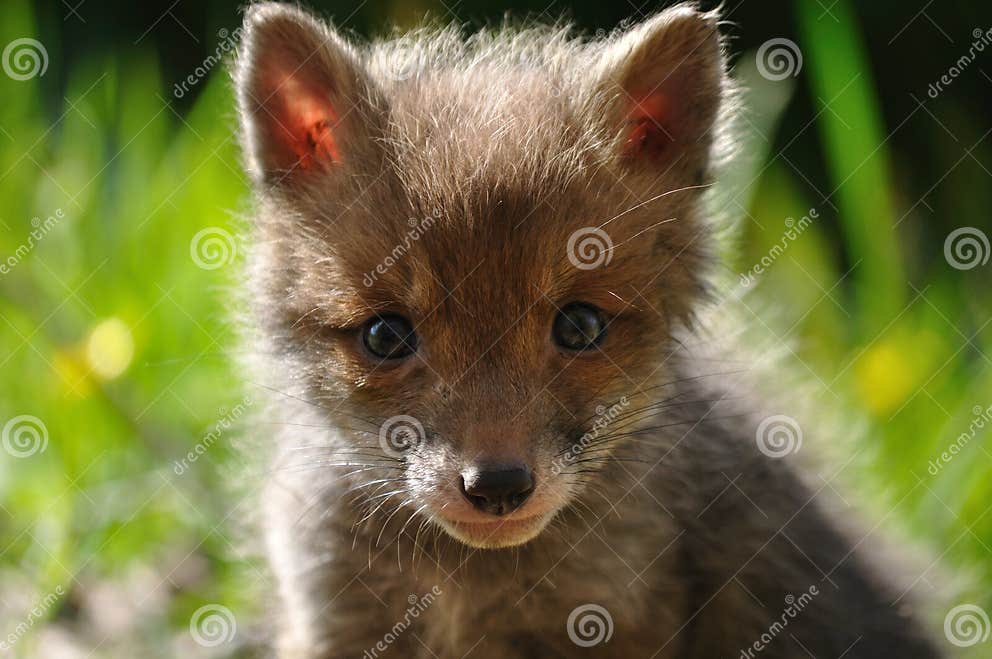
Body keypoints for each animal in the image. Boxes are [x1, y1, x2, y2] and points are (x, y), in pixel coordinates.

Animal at [233, 2, 945, 657]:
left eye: (579, 326)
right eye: (385, 337)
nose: (498, 488)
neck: (463, 589)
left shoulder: (613, 620)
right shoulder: (331, 619)